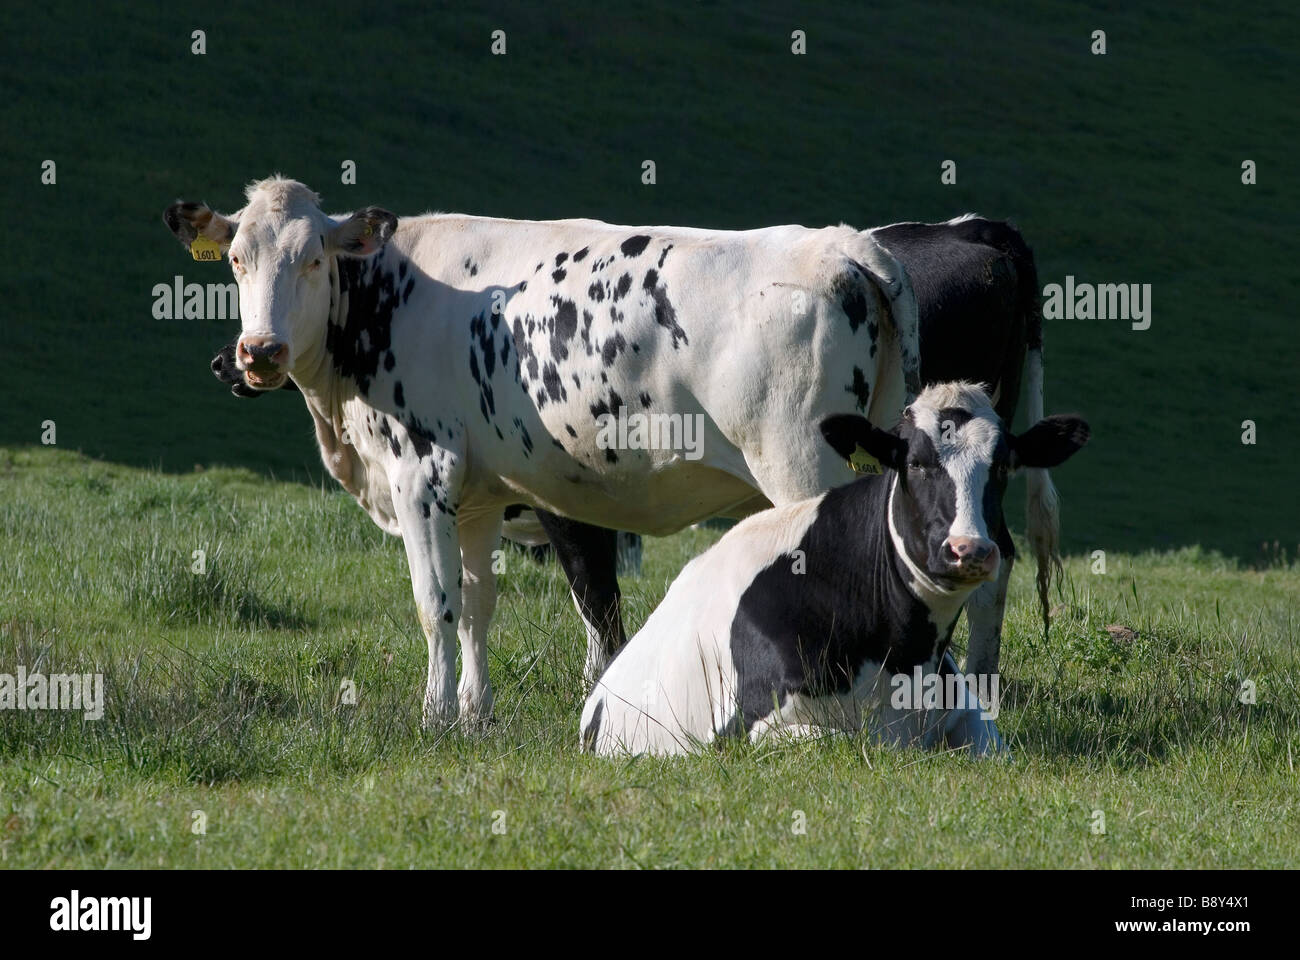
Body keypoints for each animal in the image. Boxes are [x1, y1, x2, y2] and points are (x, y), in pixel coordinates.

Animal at [166, 175, 920, 727]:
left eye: (314, 258)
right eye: (237, 259)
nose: (258, 351)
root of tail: (843, 245)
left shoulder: (420, 472)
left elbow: (433, 601)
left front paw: (432, 717)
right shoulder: (475, 496)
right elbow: (476, 603)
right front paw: (474, 717)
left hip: (799, 459)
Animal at [579, 382, 1089, 757]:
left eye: (1003, 466)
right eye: (915, 462)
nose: (970, 549)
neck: (907, 655)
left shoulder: (970, 716)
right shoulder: (752, 729)